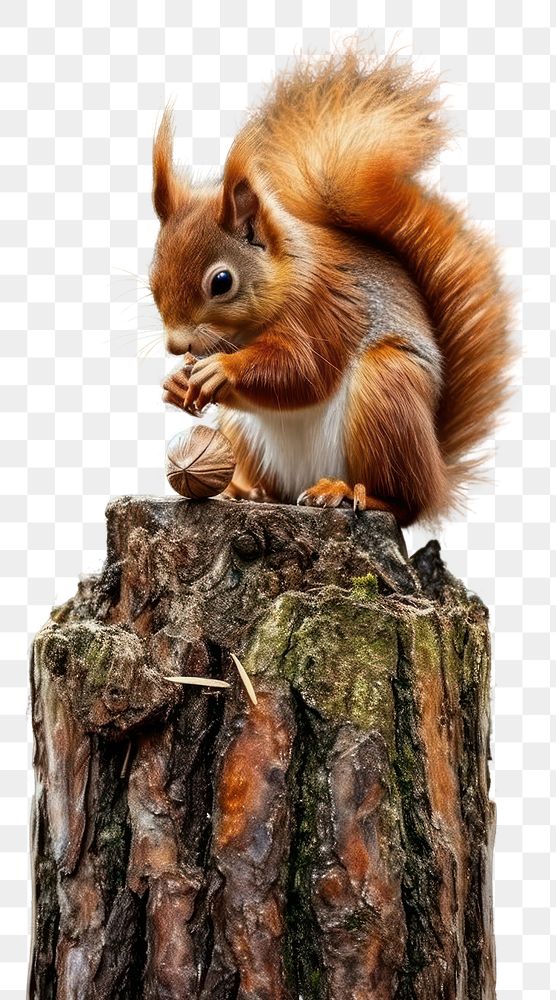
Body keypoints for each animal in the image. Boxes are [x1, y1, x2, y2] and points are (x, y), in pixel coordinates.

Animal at [150, 48, 515, 527]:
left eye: (222, 282)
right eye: (152, 278)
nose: (175, 346)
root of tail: (436, 472)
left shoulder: (320, 307)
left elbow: (302, 371)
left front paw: (222, 369)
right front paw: (177, 383)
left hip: (388, 391)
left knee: (404, 502)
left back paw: (347, 492)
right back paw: (246, 491)